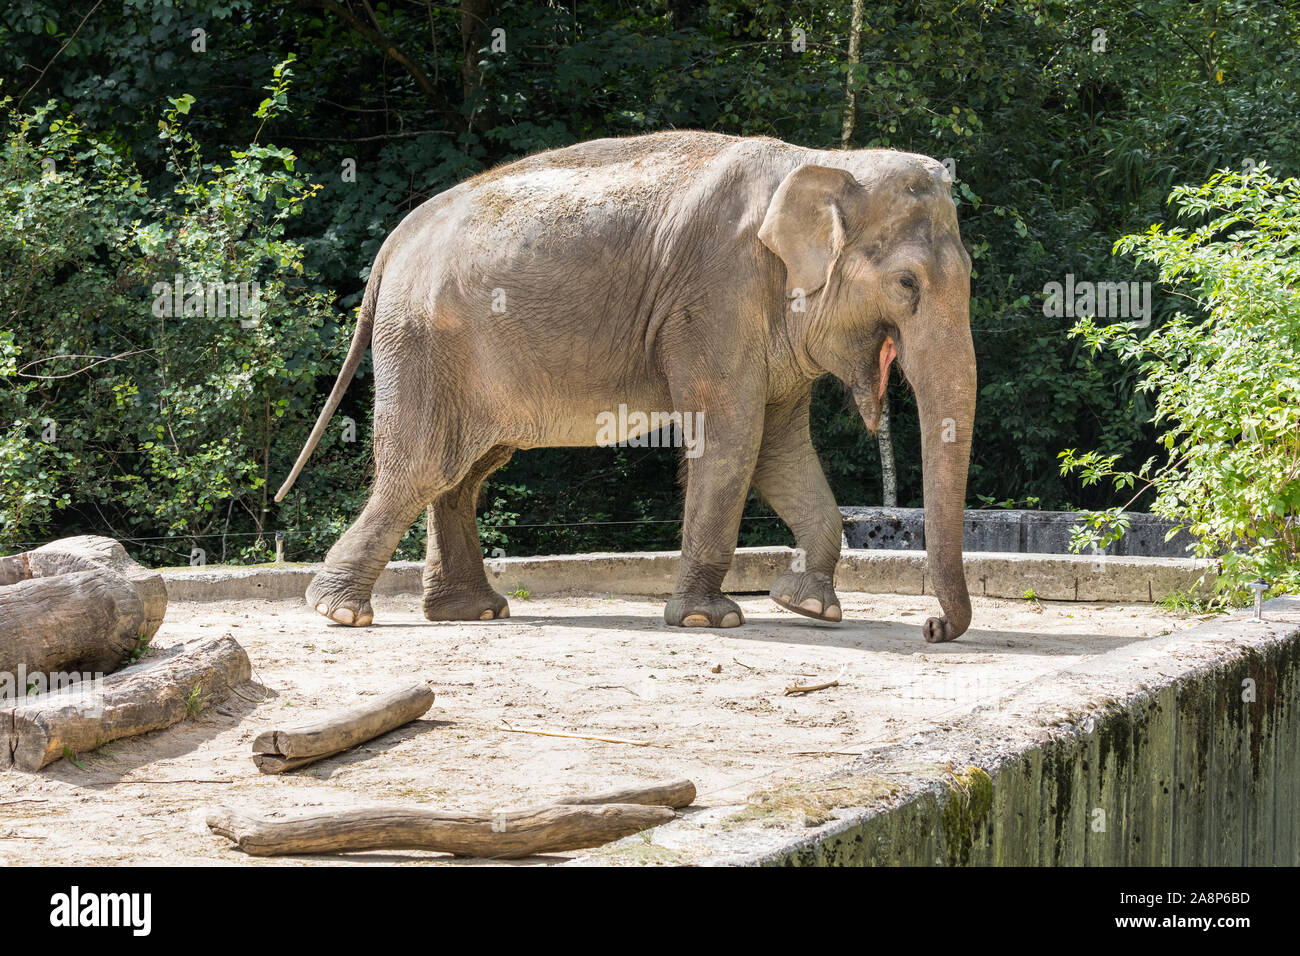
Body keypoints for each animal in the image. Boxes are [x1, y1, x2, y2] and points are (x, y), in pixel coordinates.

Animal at [275, 131, 976, 643]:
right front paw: (710, 619)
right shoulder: (715, 299)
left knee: (466, 473)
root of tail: (393, 242)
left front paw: (810, 607)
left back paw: (473, 612)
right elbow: (731, 438)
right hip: (424, 339)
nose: (932, 628)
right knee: (423, 466)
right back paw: (340, 613)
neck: (822, 160)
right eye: (907, 283)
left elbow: (779, 449)